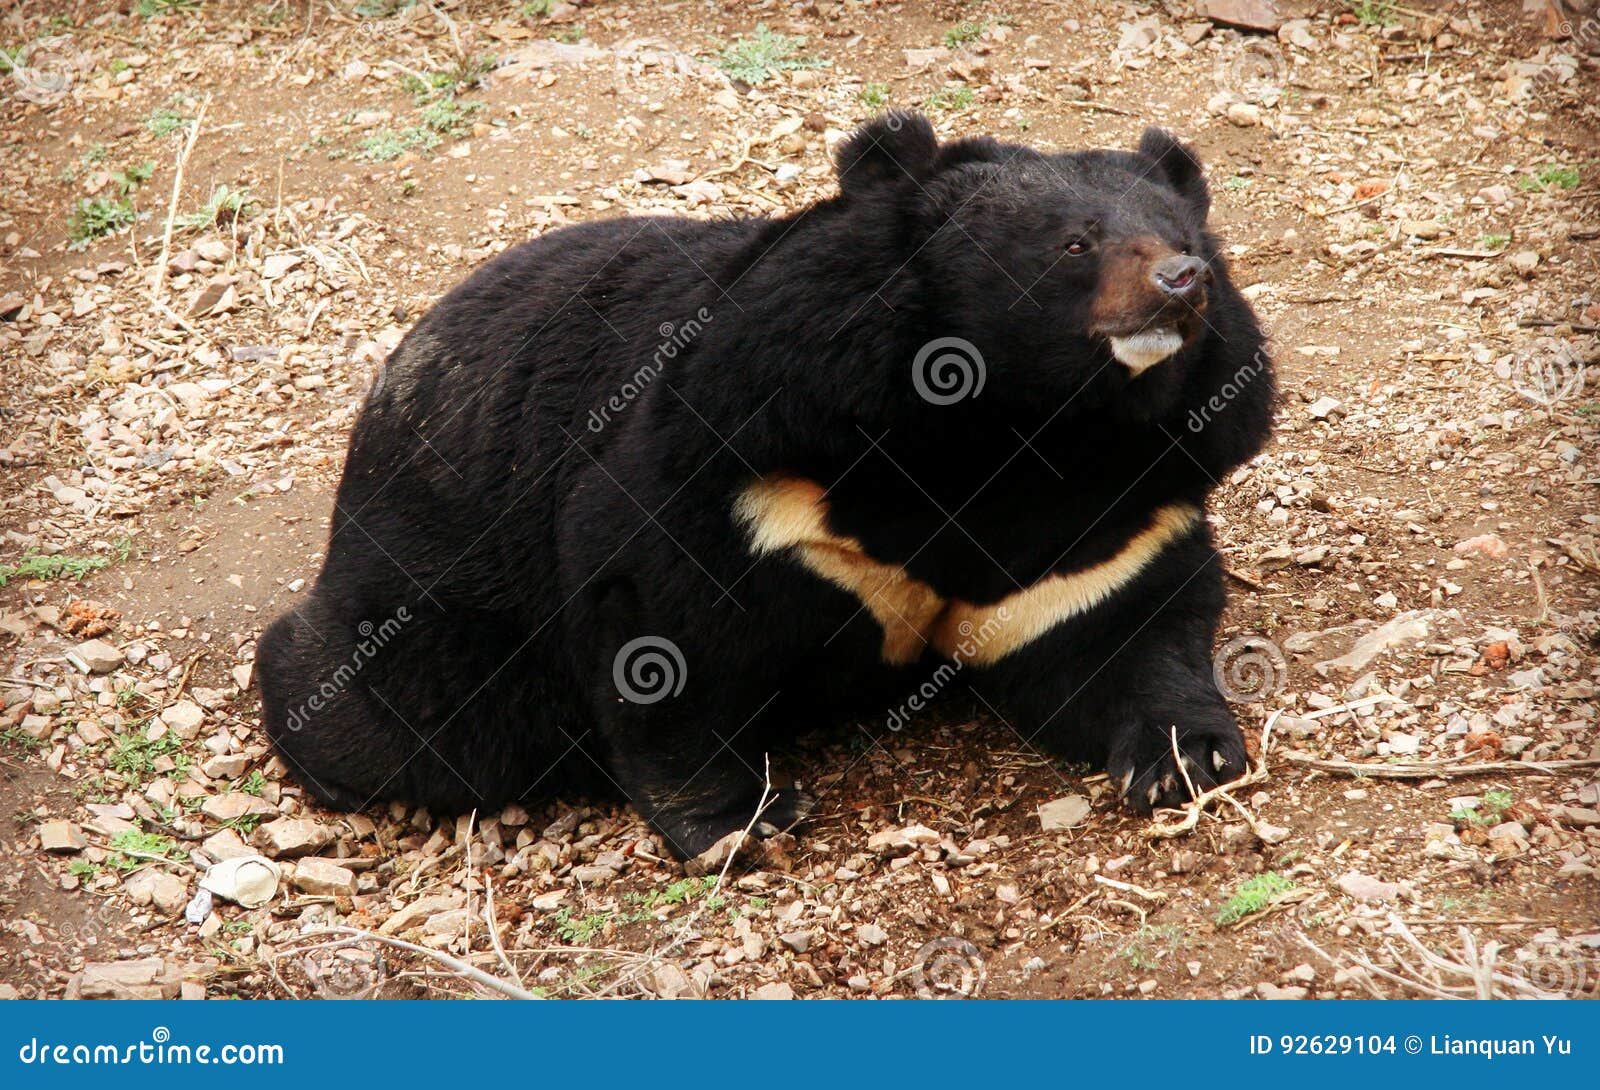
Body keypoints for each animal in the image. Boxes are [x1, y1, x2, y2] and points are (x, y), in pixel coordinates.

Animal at [257, 111, 1275, 860]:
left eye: (1184, 238)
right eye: (1074, 245)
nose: (1183, 281)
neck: (1017, 431)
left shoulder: (1112, 516)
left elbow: (1125, 630)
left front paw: (1188, 756)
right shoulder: (753, 463)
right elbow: (663, 624)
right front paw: (742, 822)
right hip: (442, 590)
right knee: (414, 717)